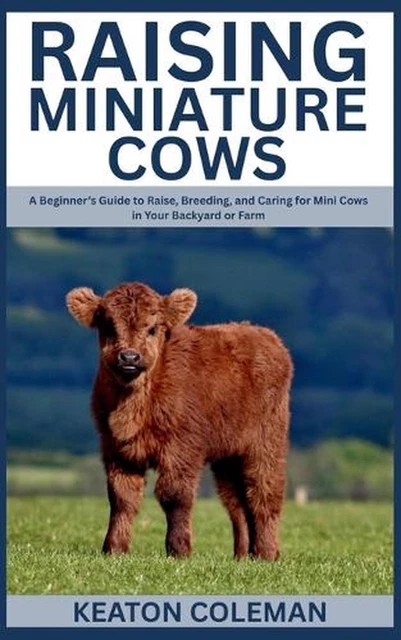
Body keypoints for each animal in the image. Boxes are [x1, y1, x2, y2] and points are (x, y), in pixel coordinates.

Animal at [66, 281, 293, 560]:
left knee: (264, 493)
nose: (129, 357)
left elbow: (174, 495)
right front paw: (114, 548)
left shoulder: (181, 449)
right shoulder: (117, 450)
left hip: (266, 444)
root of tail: (267, 336)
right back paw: (242, 556)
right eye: (108, 326)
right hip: (228, 456)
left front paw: (178, 549)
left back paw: (266, 553)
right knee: (237, 503)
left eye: (153, 328)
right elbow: (122, 497)